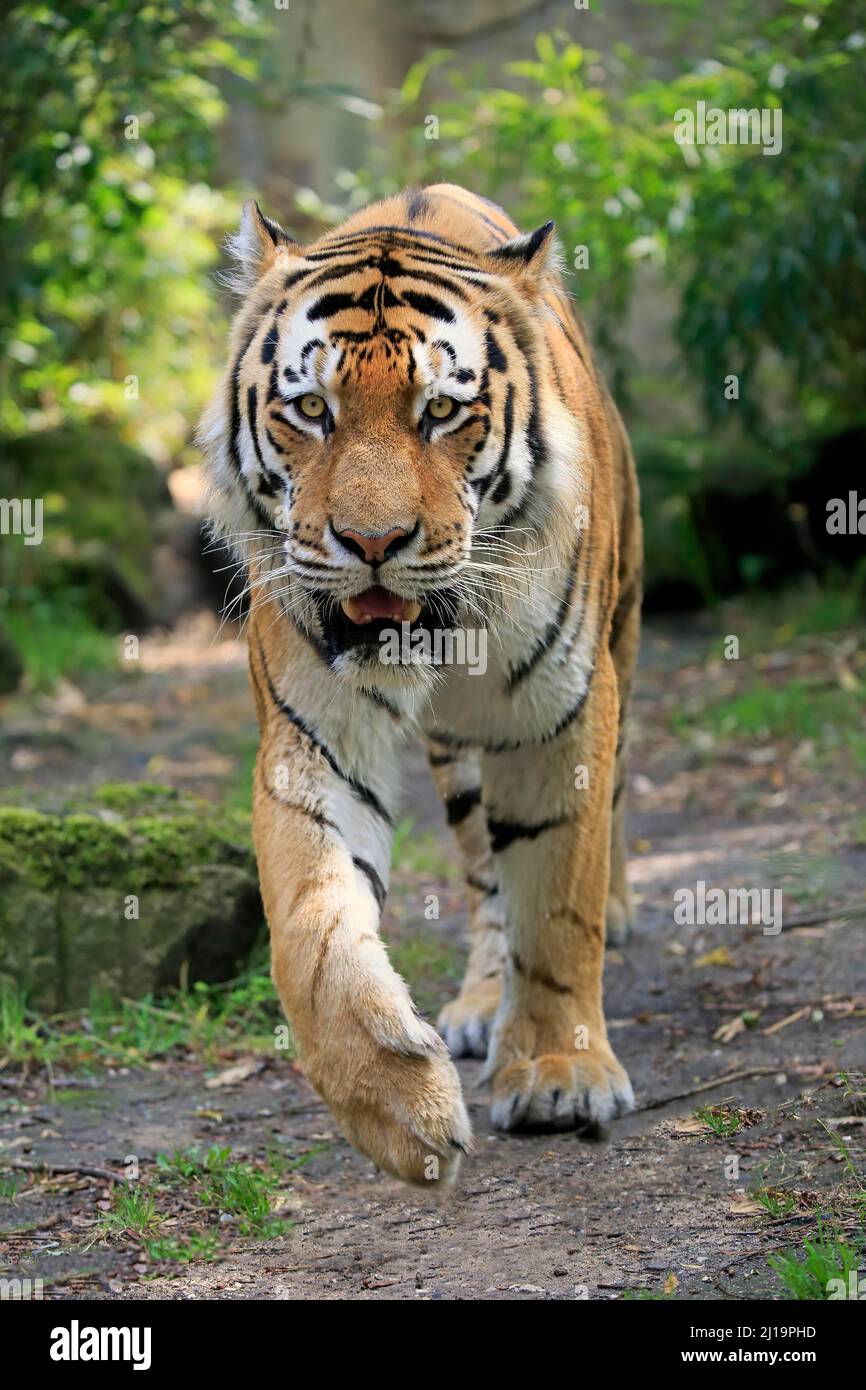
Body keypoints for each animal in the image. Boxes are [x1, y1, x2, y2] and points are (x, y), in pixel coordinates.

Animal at [198, 183, 642, 1187]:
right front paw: (400, 1108)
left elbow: (558, 897)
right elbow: (313, 936)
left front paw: (558, 1074)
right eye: (311, 408)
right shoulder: (313, 737)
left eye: (441, 410)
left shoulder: (562, 717)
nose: (372, 542)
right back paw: (479, 1006)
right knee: (482, 874)